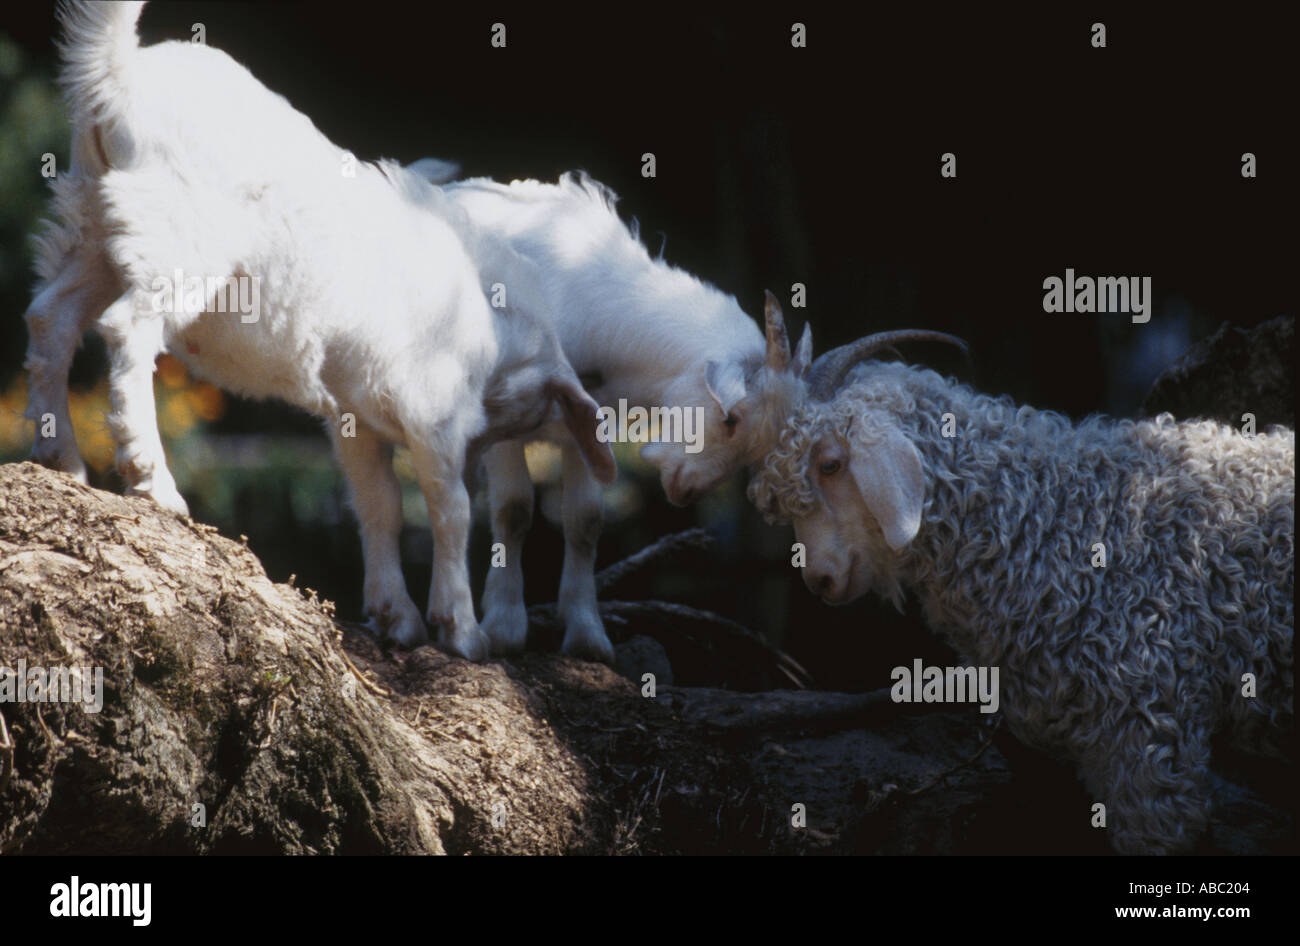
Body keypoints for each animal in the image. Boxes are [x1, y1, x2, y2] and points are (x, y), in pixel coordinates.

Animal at [24, 0, 615, 659]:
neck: (497, 326)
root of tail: (118, 73)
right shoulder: (433, 414)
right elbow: (450, 509)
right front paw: (460, 630)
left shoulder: (356, 417)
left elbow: (380, 506)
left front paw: (396, 616)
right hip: (178, 241)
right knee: (127, 328)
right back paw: (151, 479)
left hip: (92, 222)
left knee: (50, 316)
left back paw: (59, 456)